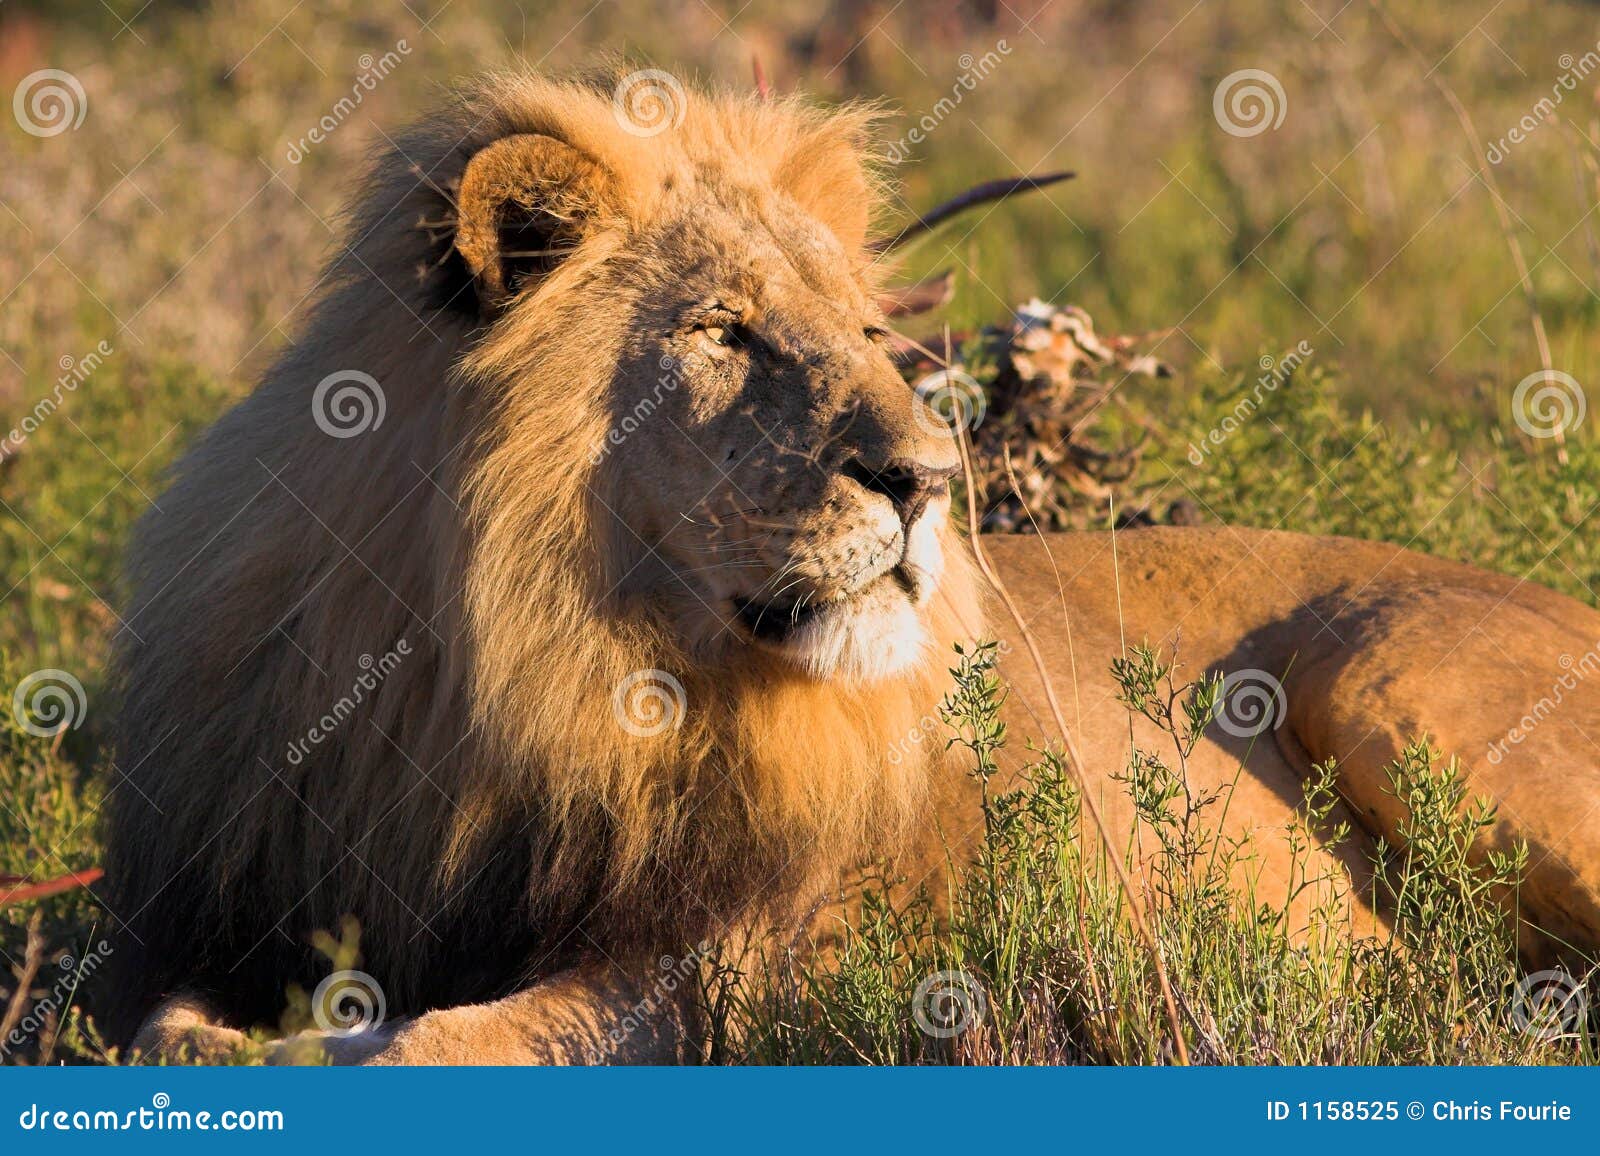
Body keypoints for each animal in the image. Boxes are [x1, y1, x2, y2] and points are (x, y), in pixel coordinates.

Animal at [103, 68, 1600, 1065]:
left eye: (871, 332)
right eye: (724, 331)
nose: (930, 481)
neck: (534, 674)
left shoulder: (747, 960)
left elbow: (437, 1046)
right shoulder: (211, 914)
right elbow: (175, 1028)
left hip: (1414, 689)